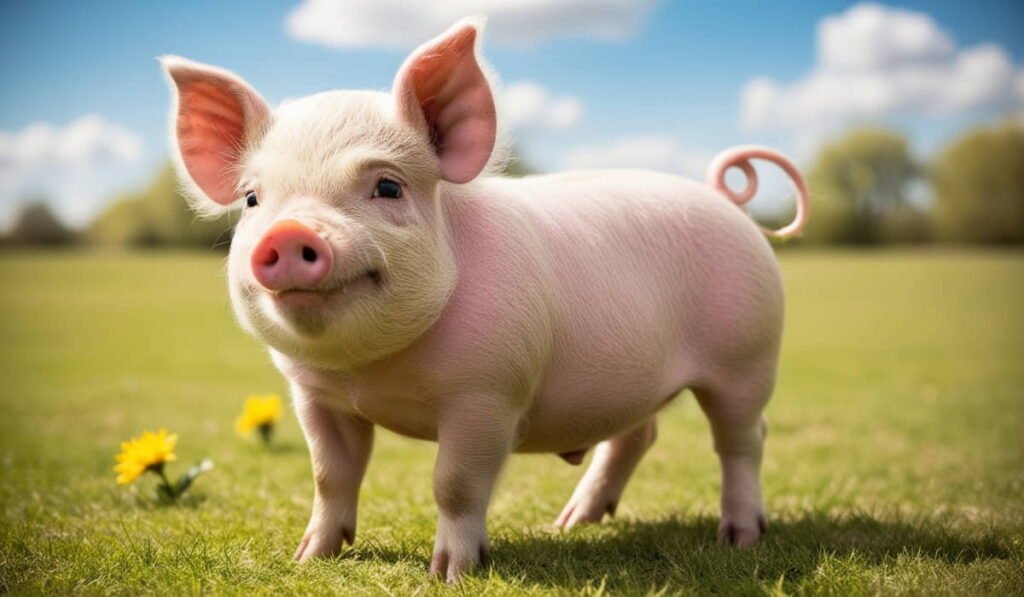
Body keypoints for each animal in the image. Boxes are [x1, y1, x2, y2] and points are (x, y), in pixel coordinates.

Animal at [160, 17, 808, 582]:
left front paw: (450, 572)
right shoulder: (315, 396)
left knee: (743, 439)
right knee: (636, 435)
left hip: (748, 353)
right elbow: (330, 476)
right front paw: (308, 559)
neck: (373, 371)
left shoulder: (490, 391)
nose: (289, 232)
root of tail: (721, 198)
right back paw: (572, 524)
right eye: (252, 199)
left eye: (387, 186)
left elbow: (454, 481)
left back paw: (739, 538)